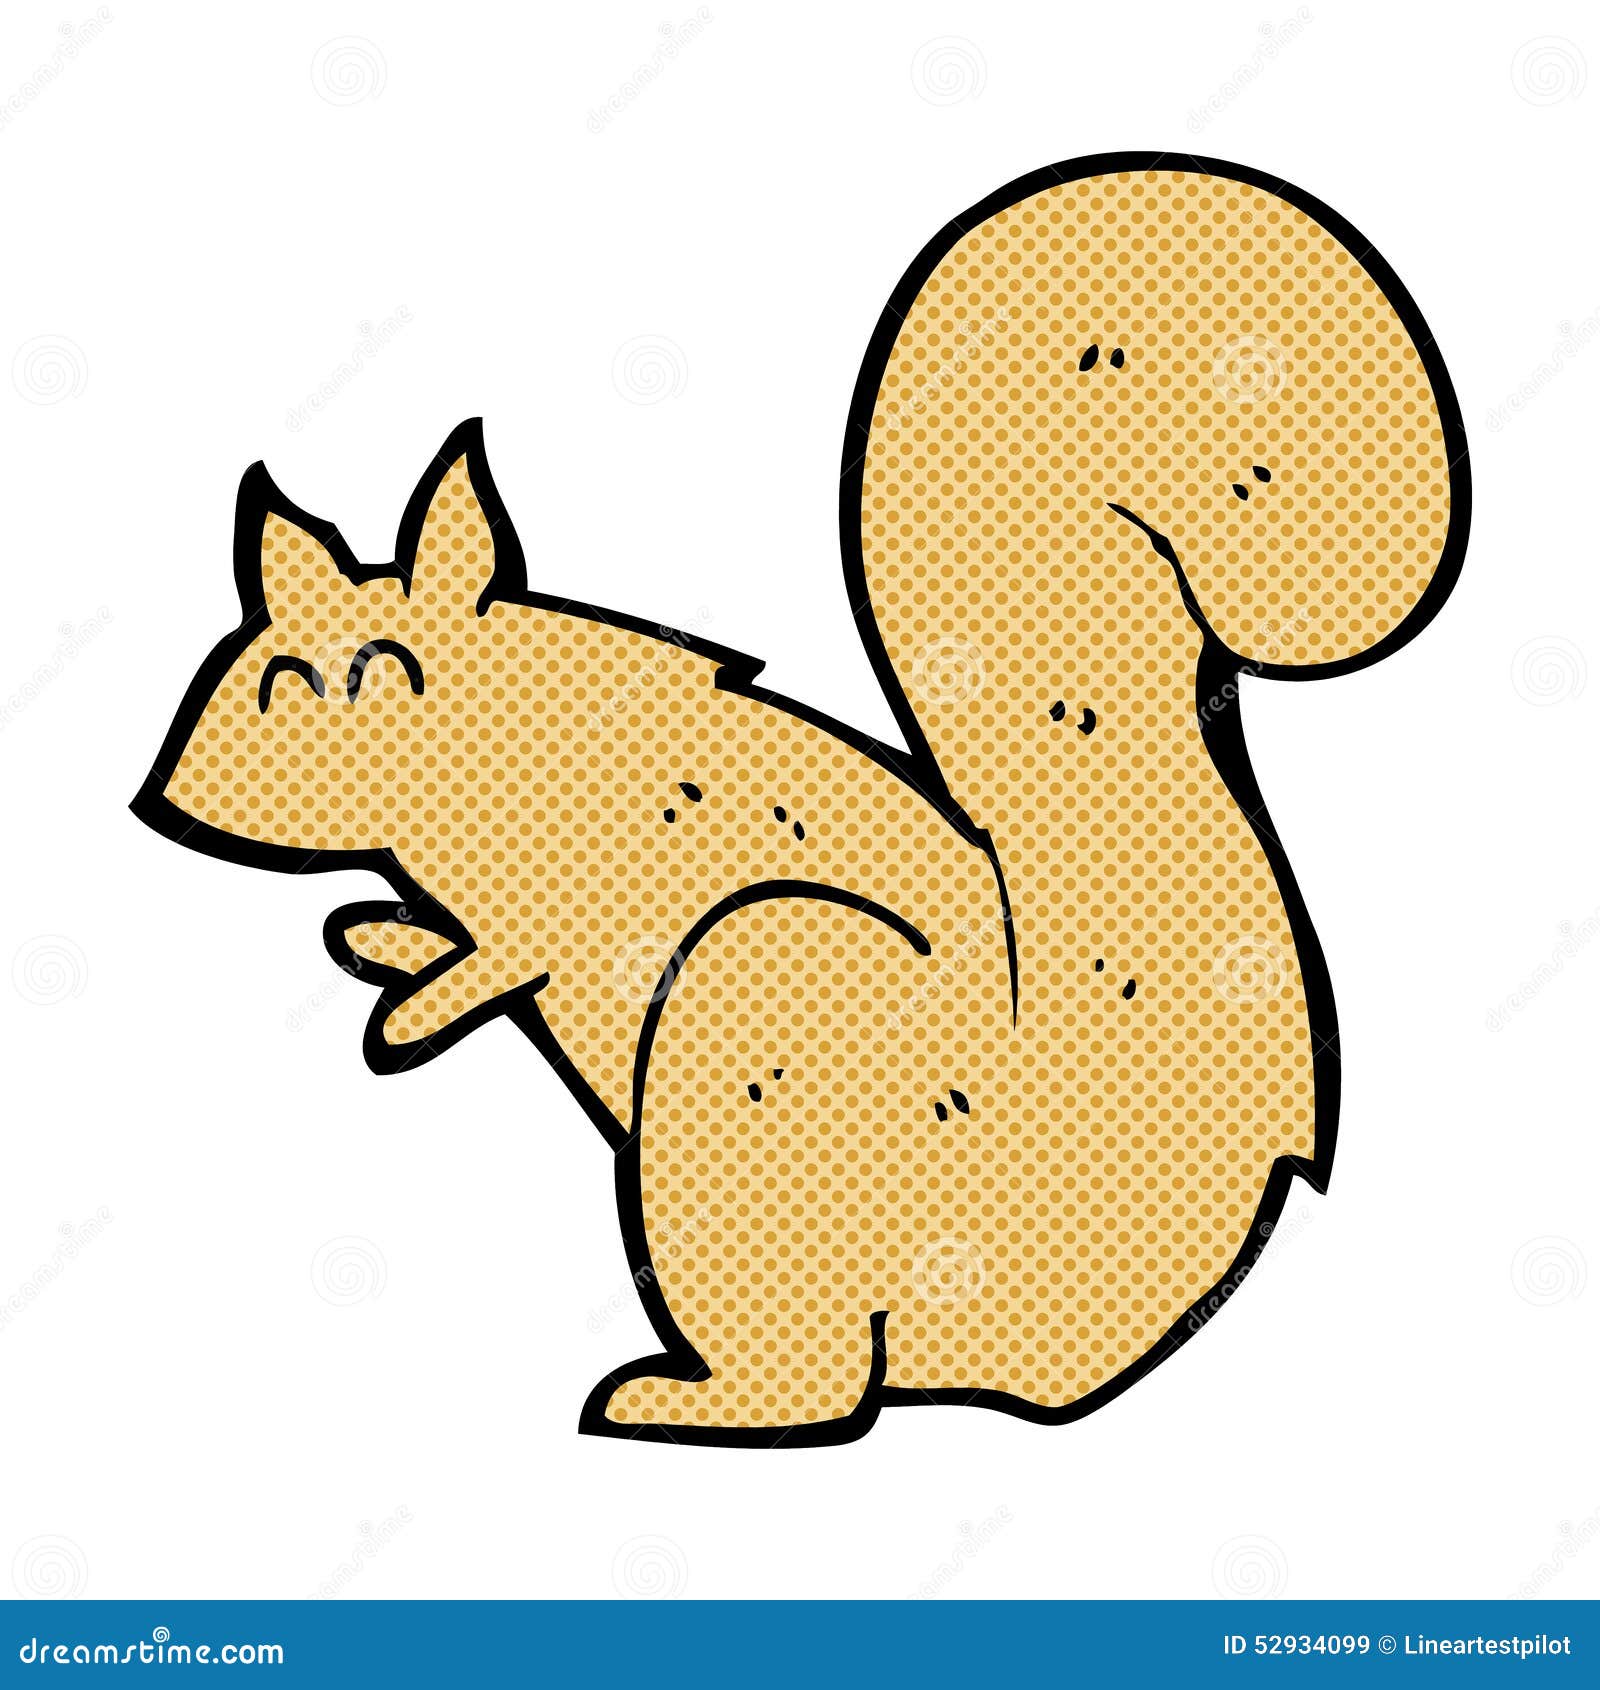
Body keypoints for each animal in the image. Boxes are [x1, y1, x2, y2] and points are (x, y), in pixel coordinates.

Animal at [133, 156, 1467, 1446]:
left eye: (364, 676)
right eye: (252, 669)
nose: (162, 799)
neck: (509, 747)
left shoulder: (577, 887)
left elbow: (511, 953)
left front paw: (420, 1006)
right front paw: (390, 939)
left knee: (826, 1390)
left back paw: (676, 1401)